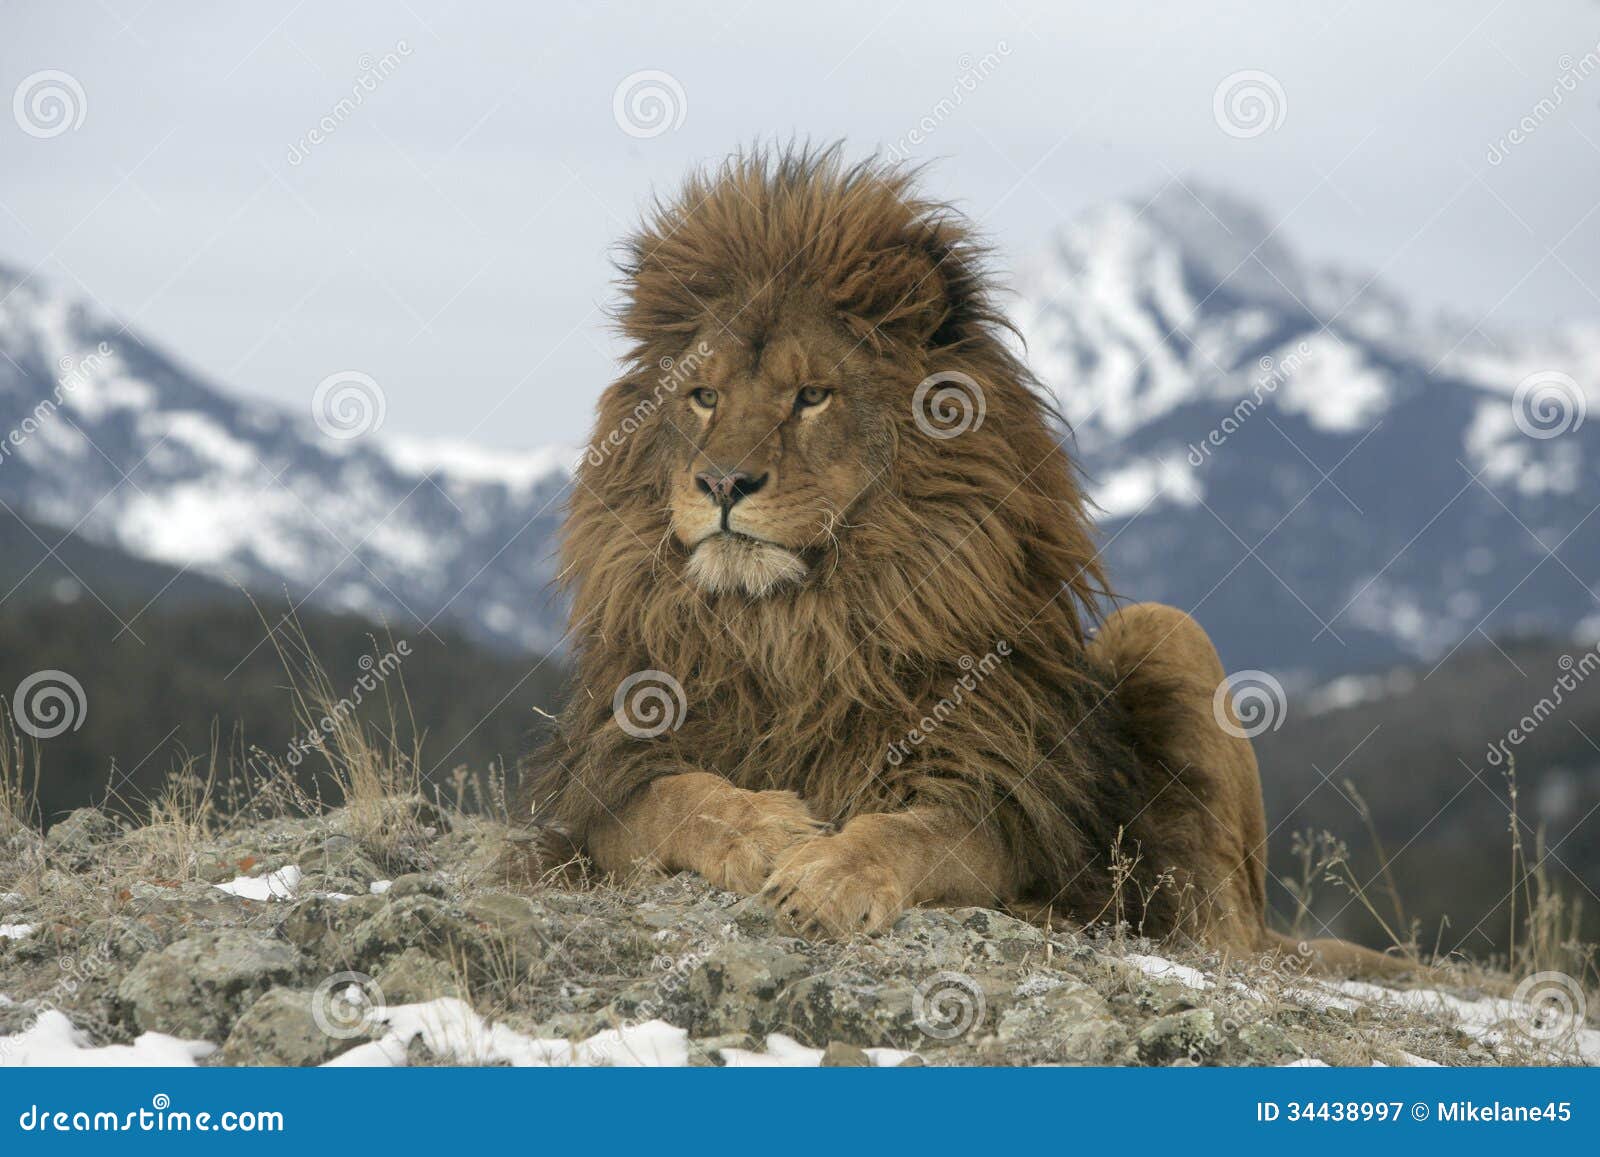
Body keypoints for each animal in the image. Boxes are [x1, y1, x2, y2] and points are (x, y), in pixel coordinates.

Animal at [513, 146, 1400, 975]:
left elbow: (911, 832)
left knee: (1220, 935)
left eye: (811, 396)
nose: (722, 482)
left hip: (1162, 635)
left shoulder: (1003, 795)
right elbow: (678, 796)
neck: (796, 626)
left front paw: (828, 874)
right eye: (703, 396)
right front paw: (764, 829)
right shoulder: (606, 781)